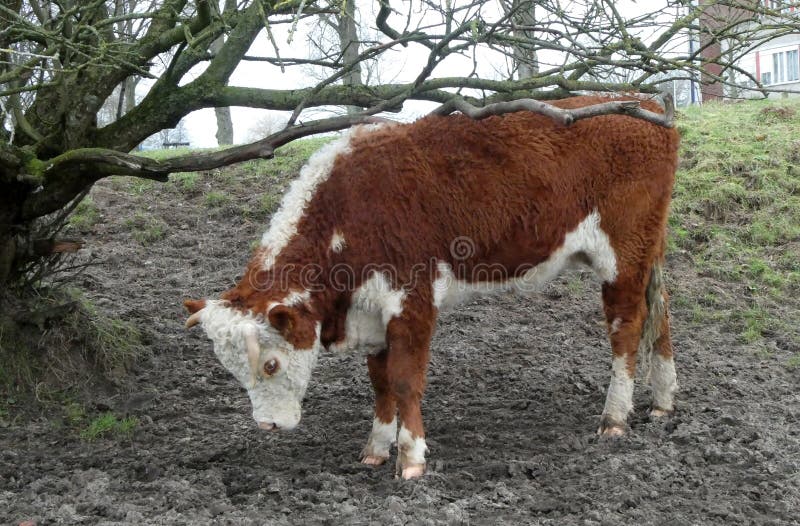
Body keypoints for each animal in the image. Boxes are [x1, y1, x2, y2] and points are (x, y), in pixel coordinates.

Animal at [184, 95, 680, 480]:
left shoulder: (412, 298)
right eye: (231, 369)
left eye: (270, 363)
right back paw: (662, 403)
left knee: (627, 328)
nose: (267, 426)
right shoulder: (372, 310)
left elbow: (405, 381)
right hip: (647, 250)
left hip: (623, 255)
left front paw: (411, 460)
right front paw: (374, 450)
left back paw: (615, 417)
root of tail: (643, 104)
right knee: (661, 314)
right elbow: (380, 383)